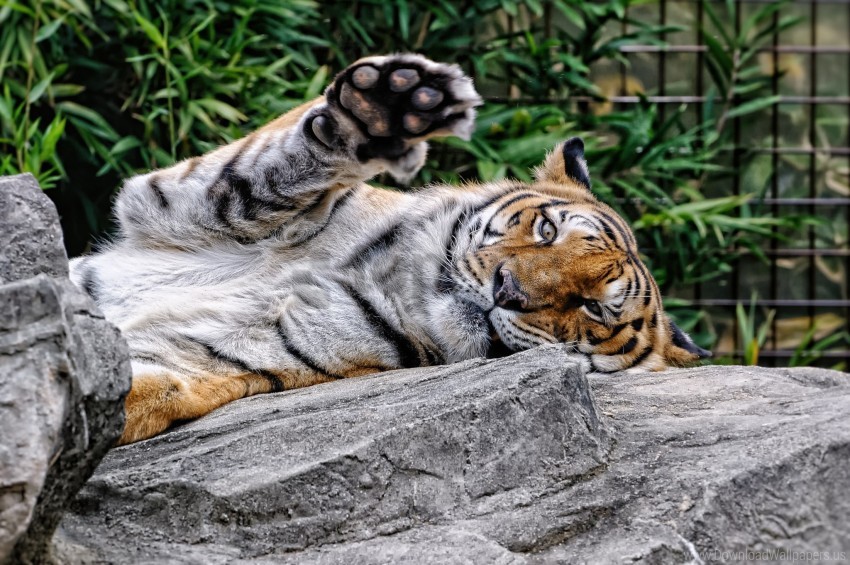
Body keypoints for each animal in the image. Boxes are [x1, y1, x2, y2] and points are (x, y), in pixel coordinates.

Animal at [69, 54, 709, 445]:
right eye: (548, 231)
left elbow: (136, 390)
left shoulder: (220, 355)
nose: (508, 291)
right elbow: (267, 167)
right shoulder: (166, 201)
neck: (389, 277)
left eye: (593, 309)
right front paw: (384, 108)